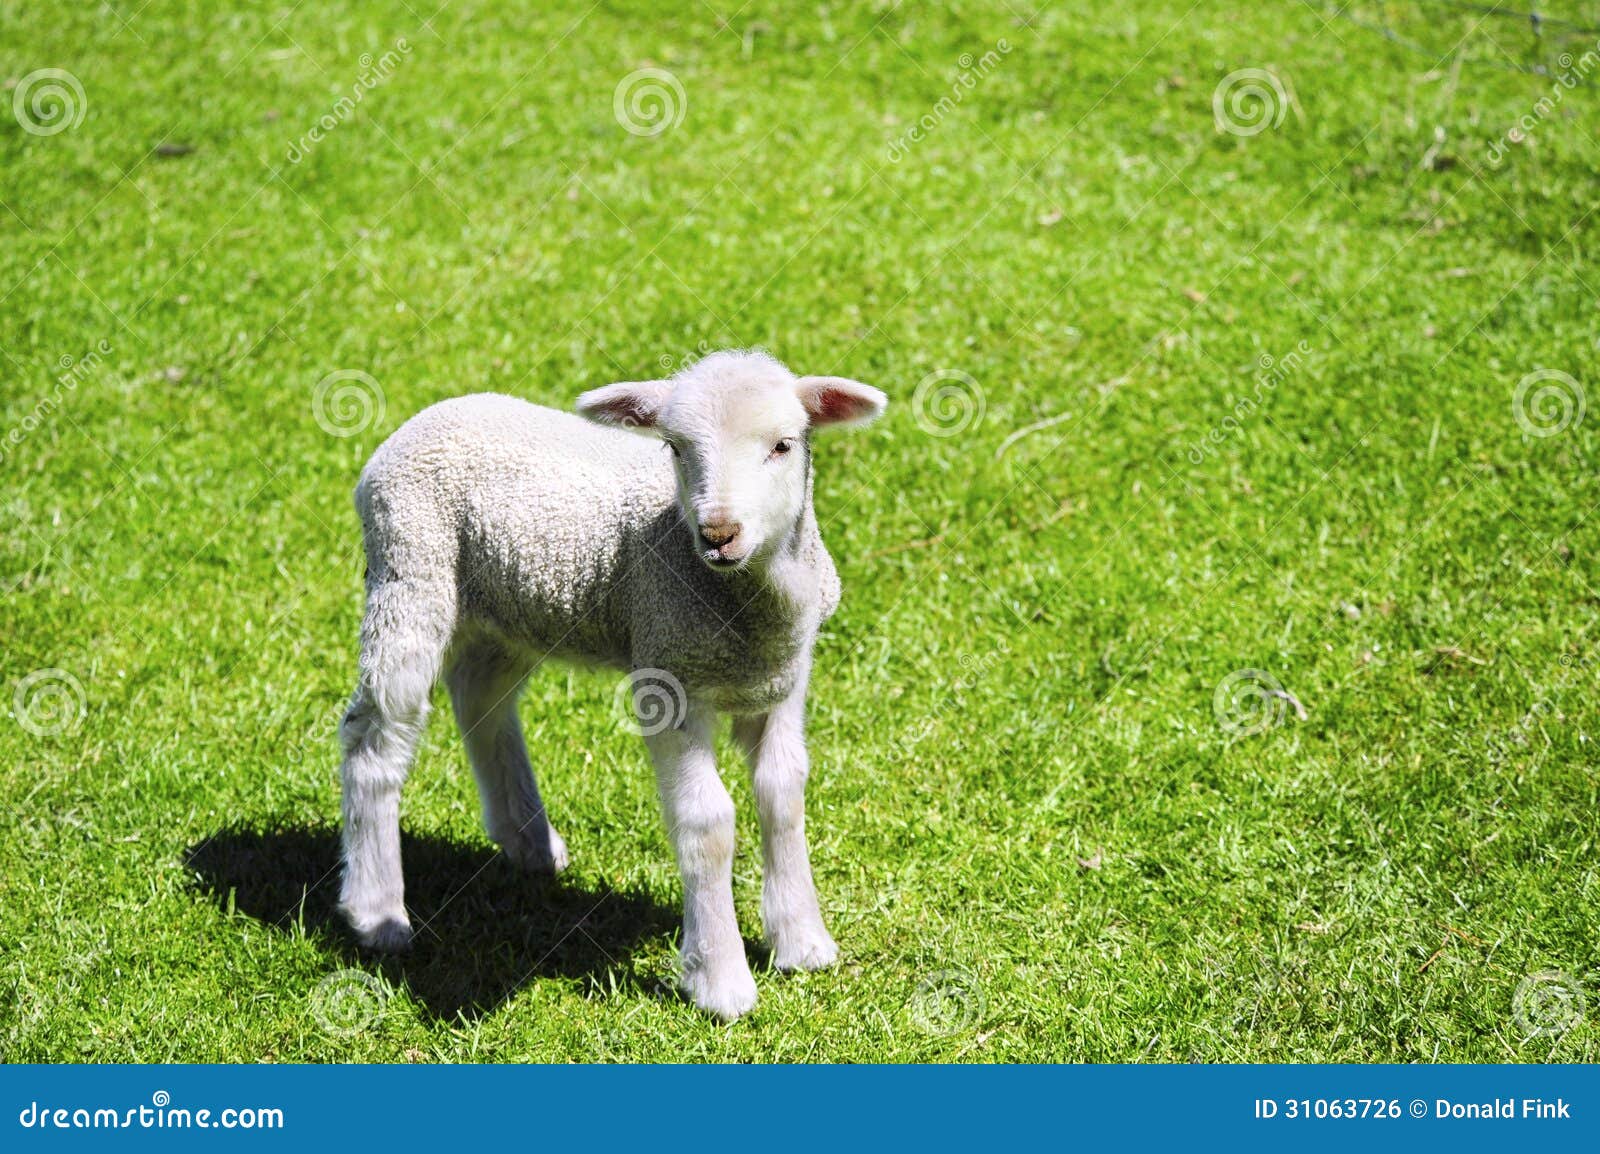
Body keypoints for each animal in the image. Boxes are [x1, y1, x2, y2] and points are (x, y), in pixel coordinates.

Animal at [335, 349, 887, 1020]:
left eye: (783, 445)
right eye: (676, 448)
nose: (718, 534)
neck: (742, 605)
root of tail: (424, 419)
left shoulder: (783, 680)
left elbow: (783, 796)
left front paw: (802, 942)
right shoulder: (669, 671)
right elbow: (708, 822)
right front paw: (720, 981)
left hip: (511, 609)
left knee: (481, 695)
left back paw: (529, 841)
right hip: (410, 572)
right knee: (374, 741)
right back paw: (377, 913)